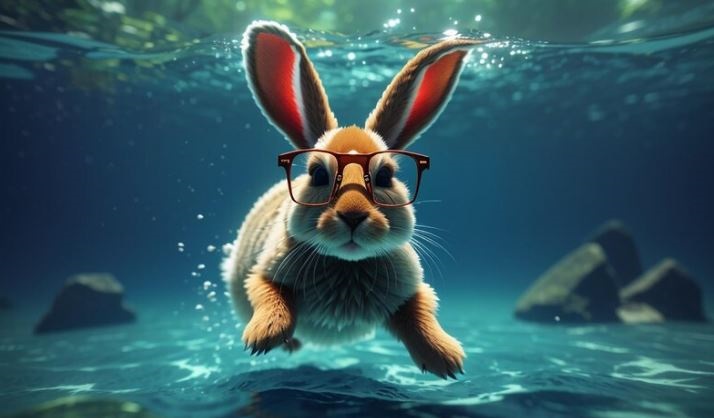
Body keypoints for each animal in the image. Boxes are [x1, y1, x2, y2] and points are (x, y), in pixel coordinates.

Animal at [222, 20, 479, 379]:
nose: (354, 217)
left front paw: (446, 358)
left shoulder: (410, 290)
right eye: (318, 174)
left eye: (385, 175)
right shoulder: (262, 273)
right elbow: (269, 296)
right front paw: (264, 336)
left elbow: (420, 314)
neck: (347, 264)